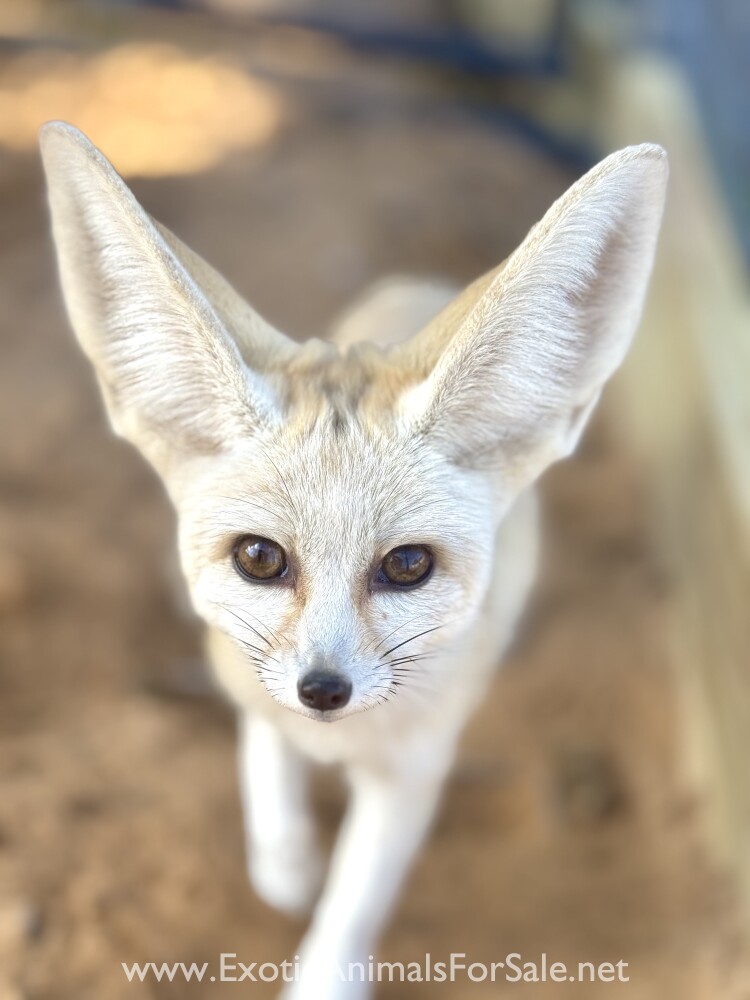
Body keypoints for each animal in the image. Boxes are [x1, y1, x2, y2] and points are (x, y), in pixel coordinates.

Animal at [40, 122, 667, 999]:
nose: (324, 691)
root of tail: (417, 280)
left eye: (406, 567)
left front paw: (325, 966)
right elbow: (264, 755)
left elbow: (356, 897)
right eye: (260, 557)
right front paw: (287, 859)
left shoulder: (413, 771)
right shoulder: (250, 675)